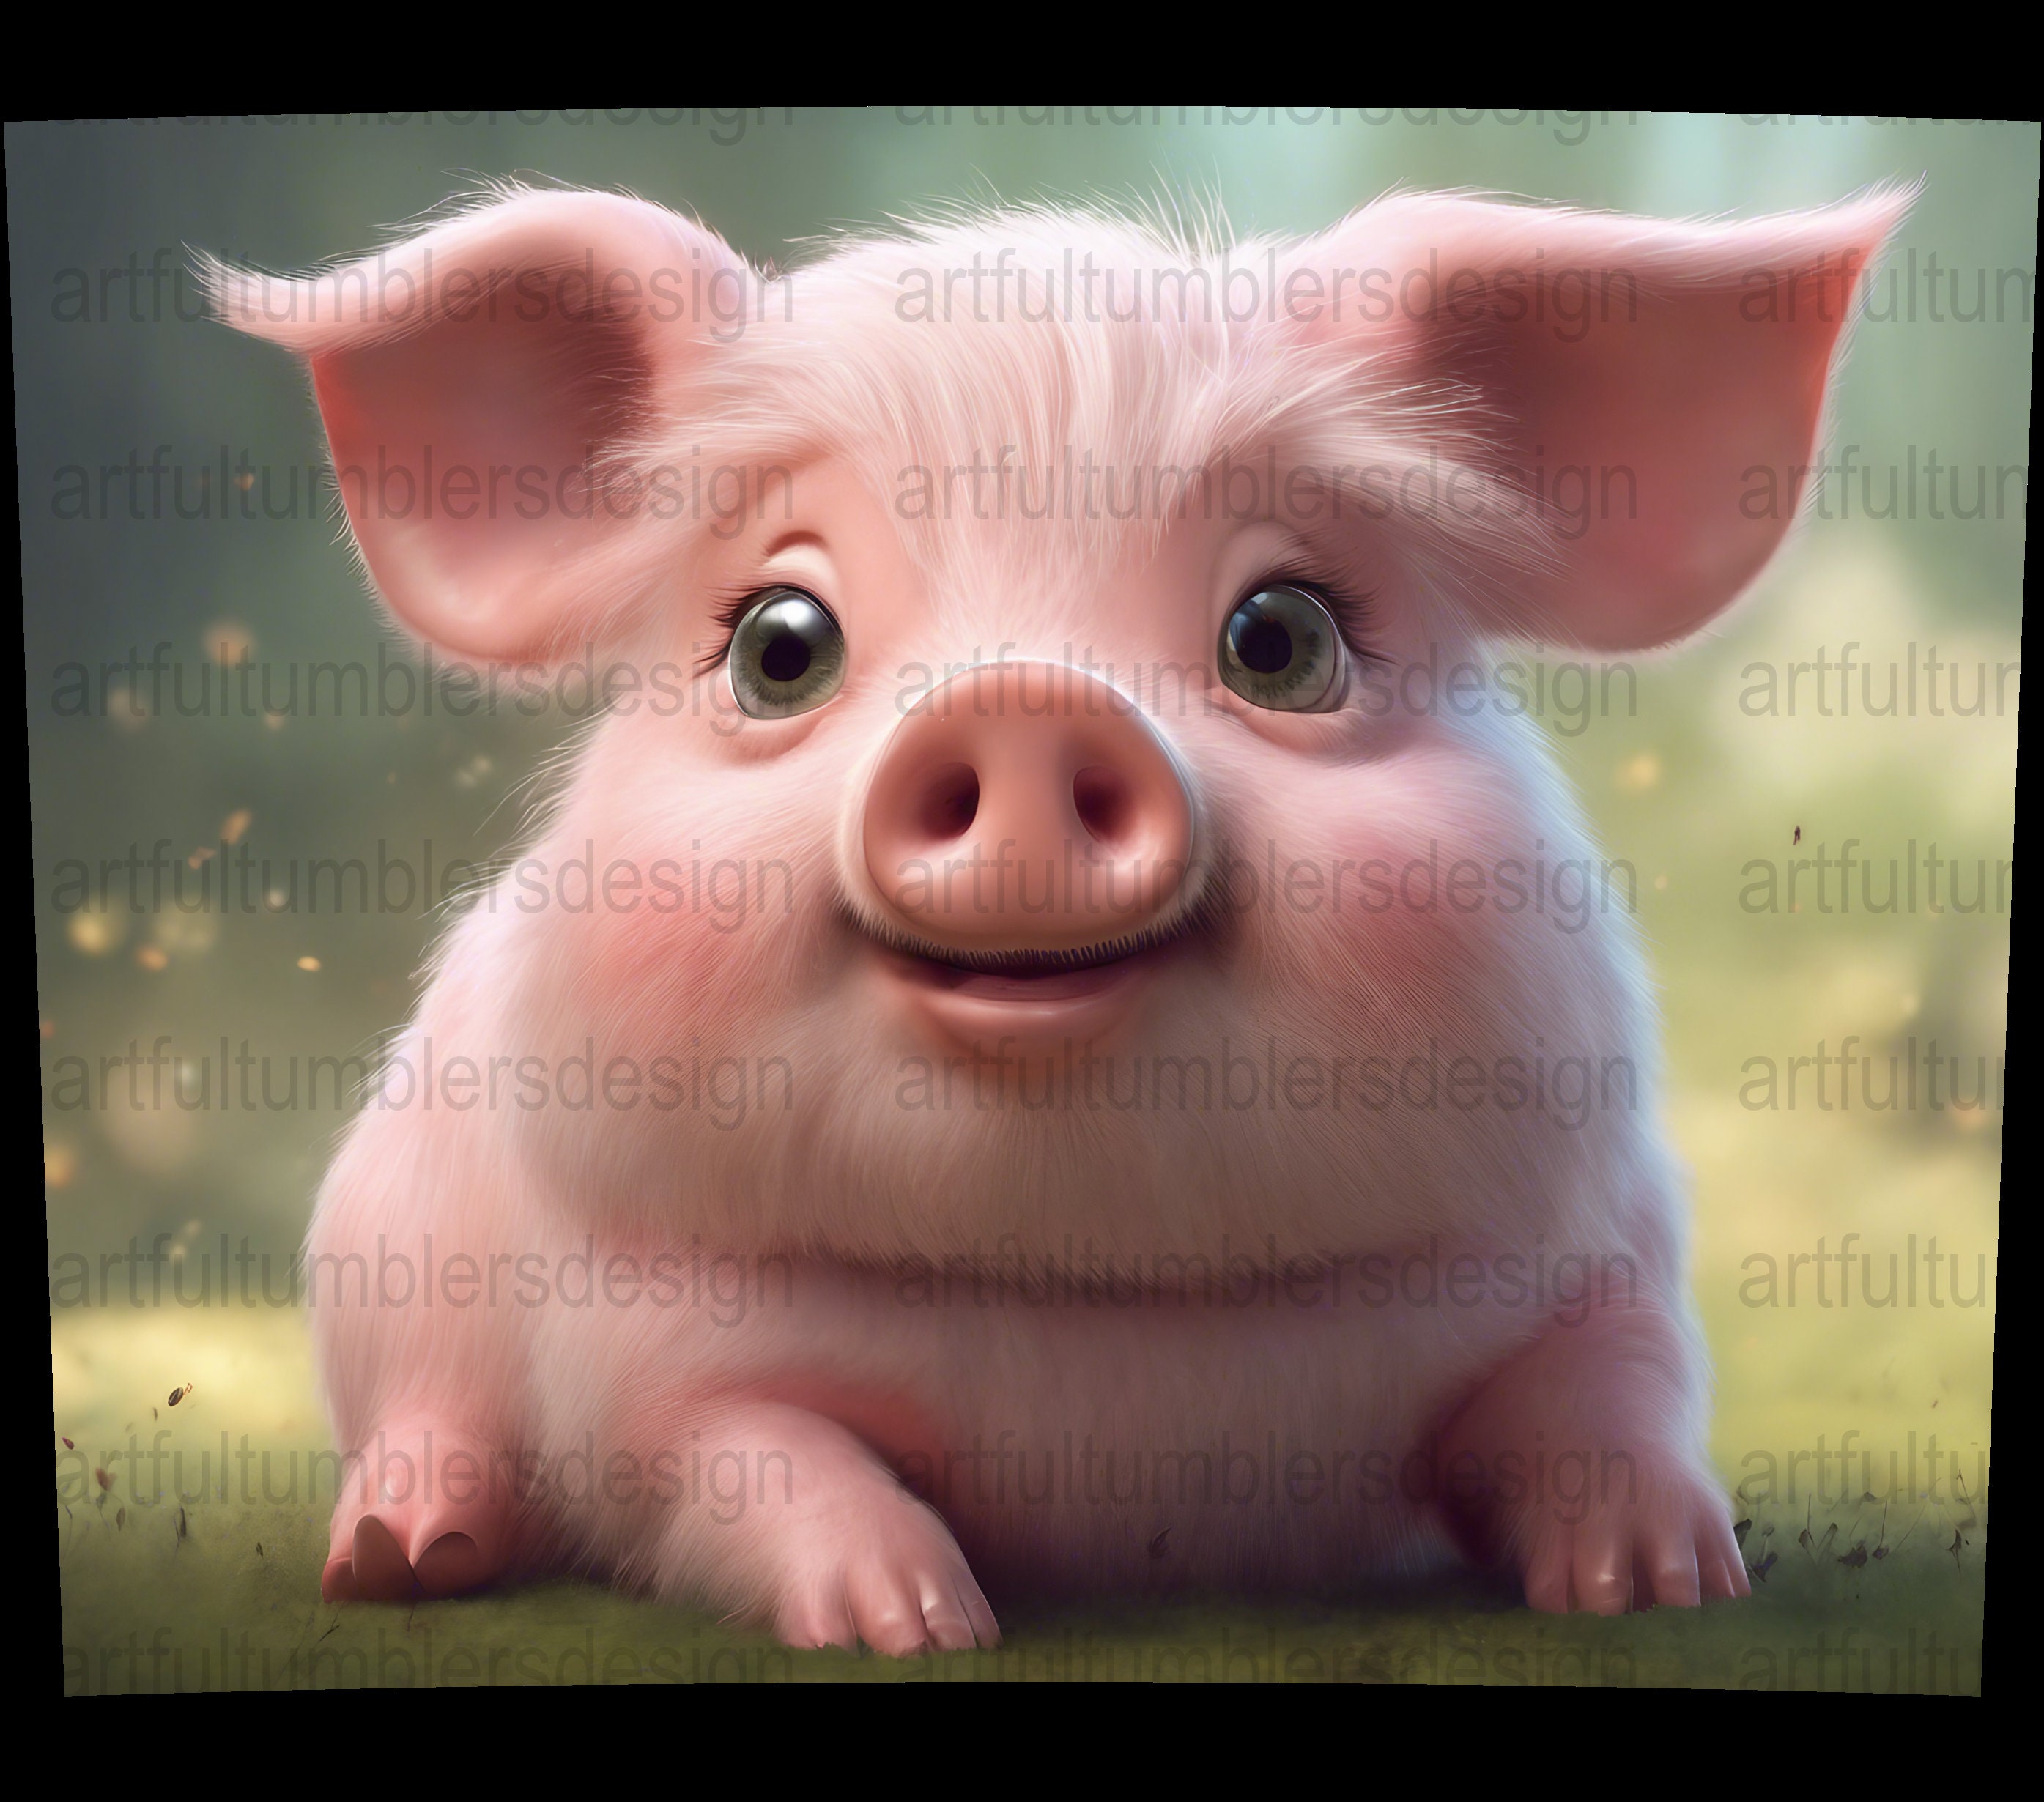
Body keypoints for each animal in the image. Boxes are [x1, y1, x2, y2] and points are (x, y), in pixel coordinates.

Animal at [211, 180, 1906, 1652]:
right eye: (780, 647)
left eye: (1283, 639)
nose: (1026, 700)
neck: (1108, 1344)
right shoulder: (639, 1373)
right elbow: (756, 1467)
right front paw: (912, 1627)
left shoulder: (1597, 1264)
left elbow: (1607, 1406)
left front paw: (1669, 1588)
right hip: (375, 1257)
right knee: (422, 1424)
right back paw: (398, 1562)